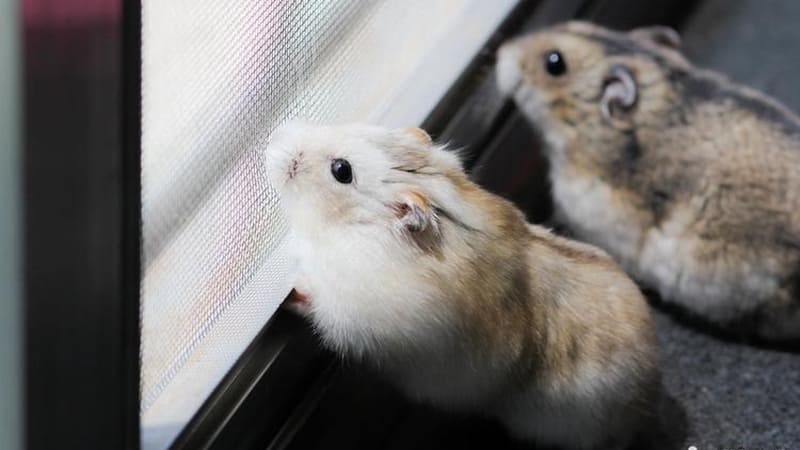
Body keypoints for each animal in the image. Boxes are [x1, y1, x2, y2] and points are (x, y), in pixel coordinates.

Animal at [265, 122, 660, 450]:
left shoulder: (353, 303)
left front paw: (291, 293)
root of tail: (643, 405)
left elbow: (318, 300)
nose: (273, 142)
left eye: (342, 170)